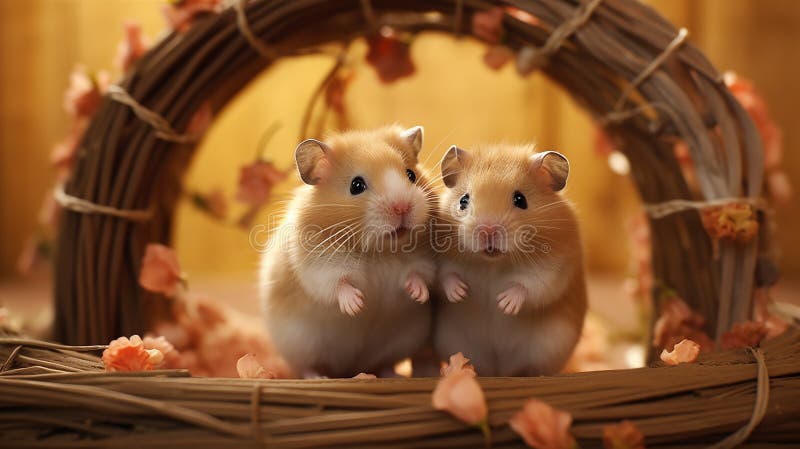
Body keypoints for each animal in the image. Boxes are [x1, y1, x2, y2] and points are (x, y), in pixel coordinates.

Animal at [260, 125, 436, 378]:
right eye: (356, 186)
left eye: (411, 175)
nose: (402, 207)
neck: (379, 252)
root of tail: (350, 368)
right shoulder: (319, 266)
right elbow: (338, 283)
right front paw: (356, 305)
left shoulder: (424, 259)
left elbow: (418, 273)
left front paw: (419, 295)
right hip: (301, 345)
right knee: (306, 366)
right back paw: (319, 377)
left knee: (383, 364)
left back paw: (391, 374)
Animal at [432, 144, 587, 376]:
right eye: (463, 201)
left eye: (520, 200)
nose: (487, 231)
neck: (494, 263)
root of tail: (501, 369)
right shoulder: (439, 260)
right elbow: (445, 276)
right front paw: (460, 293)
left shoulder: (554, 267)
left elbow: (528, 286)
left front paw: (504, 303)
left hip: (550, 345)